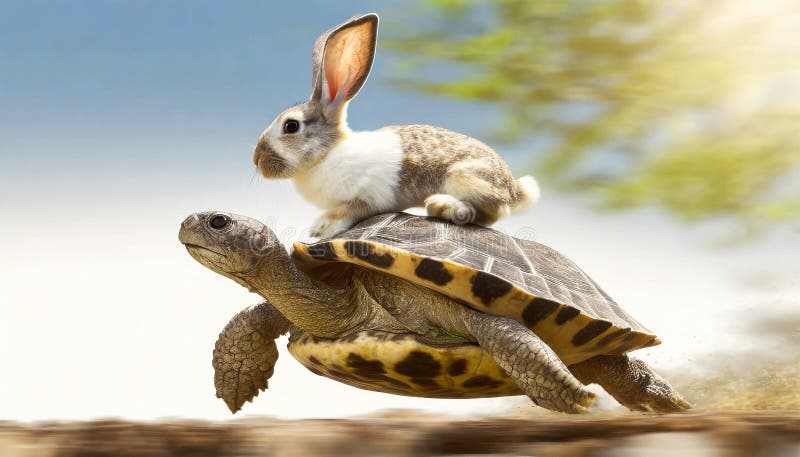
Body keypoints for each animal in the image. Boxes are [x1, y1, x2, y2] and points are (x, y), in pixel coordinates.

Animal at [252, 13, 540, 238]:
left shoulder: (367, 197)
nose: (256, 160)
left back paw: (443, 206)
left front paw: (321, 229)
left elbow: (348, 212)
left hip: (462, 176)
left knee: (491, 211)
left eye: (291, 126)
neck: (328, 155)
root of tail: (515, 189)